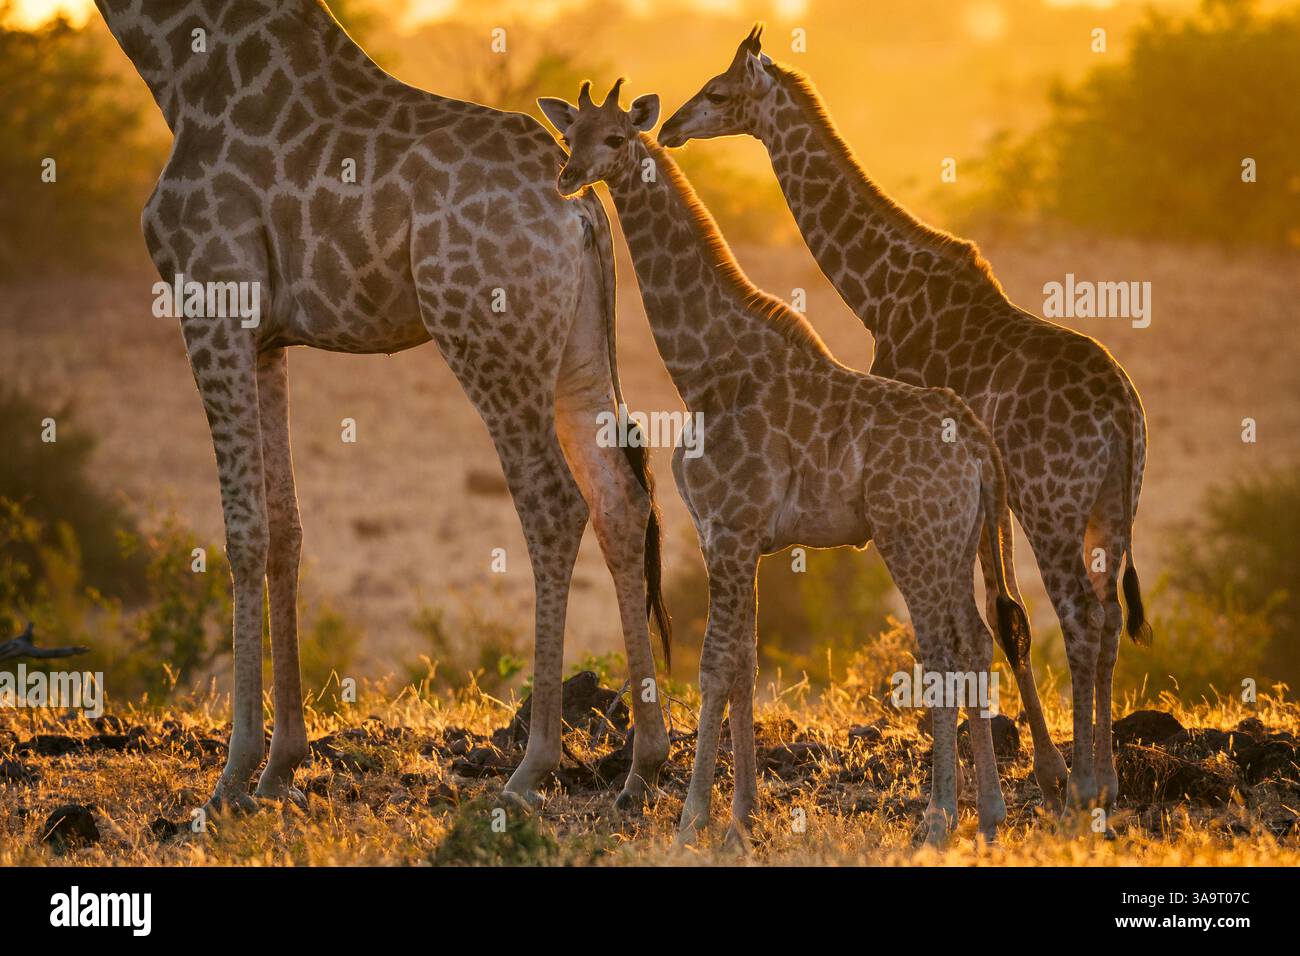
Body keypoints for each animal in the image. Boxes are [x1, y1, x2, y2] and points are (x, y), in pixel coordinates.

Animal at [93, 0, 672, 814]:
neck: (180, 68)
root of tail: (582, 207)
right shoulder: (266, 337)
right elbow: (286, 528)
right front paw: (282, 764)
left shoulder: (211, 298)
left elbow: (243, 531)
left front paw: (232, 777)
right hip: (581, 352)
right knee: (620, 498)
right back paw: (643, 764)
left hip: (487, 338)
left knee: (555, 504)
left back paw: (531, 769)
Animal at [540, 79, 1035, 846]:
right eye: (571, 135)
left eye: (616, 138)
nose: (568, 176)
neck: (706, 367)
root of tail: (982, 449)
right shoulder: (734, 537)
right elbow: (745, 663)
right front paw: (741, 817)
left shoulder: (731, 526)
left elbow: (716, 666)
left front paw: (693, 819)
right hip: (960, 541)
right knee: (978, 641)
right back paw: (988, 815)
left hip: (913, 540)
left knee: (942, 651)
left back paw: (938, 819)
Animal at [659, 24, 1152, 814]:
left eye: (719, 92)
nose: (670, 127)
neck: (880, 291)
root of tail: (1124, 419)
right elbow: (1003, 618)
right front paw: (1029, 770)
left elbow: (987, 620)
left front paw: (1017, 777)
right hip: (1112, 503)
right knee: (1105, 614)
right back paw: (1098, 777)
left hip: (1052, 500)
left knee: (1079, 613)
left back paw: (1087, 782)